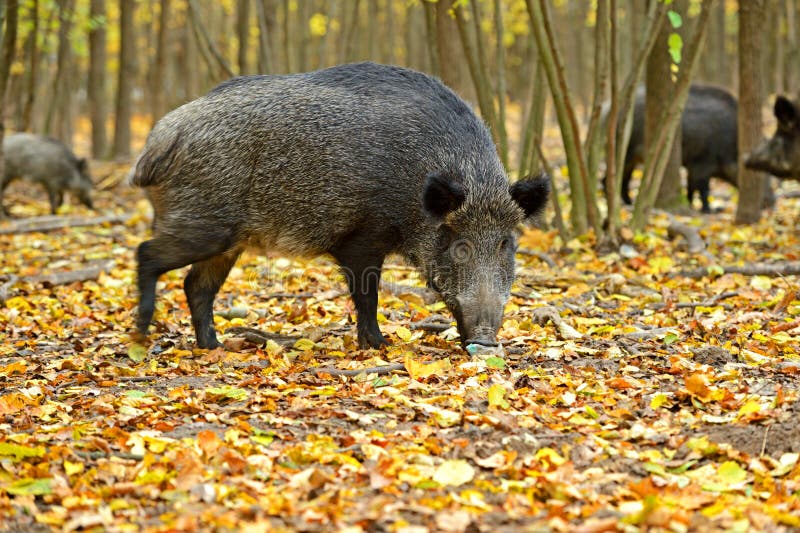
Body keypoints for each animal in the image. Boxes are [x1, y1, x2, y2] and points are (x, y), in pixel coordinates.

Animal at [131, 62, 550, 350]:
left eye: (507, 244)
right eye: (460, 244)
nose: (486, 339)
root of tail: (159, 141)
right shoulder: (362, 236)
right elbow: (367, 294)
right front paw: (379, 344)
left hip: (228, 241)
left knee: (195, 286)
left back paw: (215, 347)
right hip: (204, 223)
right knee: (147, 253)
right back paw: (141, 332)